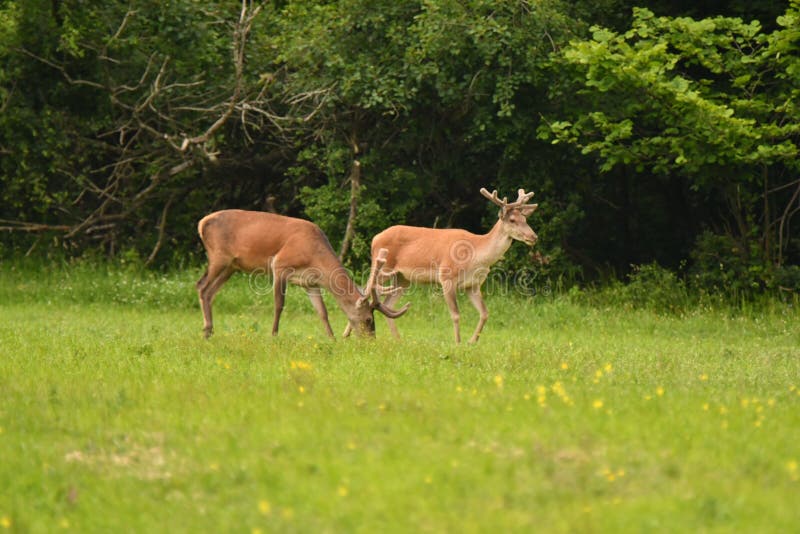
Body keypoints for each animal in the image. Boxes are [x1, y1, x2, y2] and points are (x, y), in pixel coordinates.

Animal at [196, 209, 409, 339]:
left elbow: (322, 311)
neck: (314, 255)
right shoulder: (280, 265)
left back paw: (209, 331)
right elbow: (279, 305)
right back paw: (206, 329)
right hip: (219, 256)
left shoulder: (310, 282)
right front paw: (273, 335)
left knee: (210, 292)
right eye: (368, 319)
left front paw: (332, 339)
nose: (371, 340)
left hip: (231, 266)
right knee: (201, 286)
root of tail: (202, 222)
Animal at [353, 188, 539, 344]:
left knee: (388, 304)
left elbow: (485, 313)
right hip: (383, 268)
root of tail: (375, 239)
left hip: (403, 278)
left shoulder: (473, 285)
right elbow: (455, 314)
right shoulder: (446, 277)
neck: (476, 255)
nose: (533, 237)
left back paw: (398, 340)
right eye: (512, 220)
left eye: (525, 219)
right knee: (365, 291)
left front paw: (472, 342)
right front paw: (458, 343)